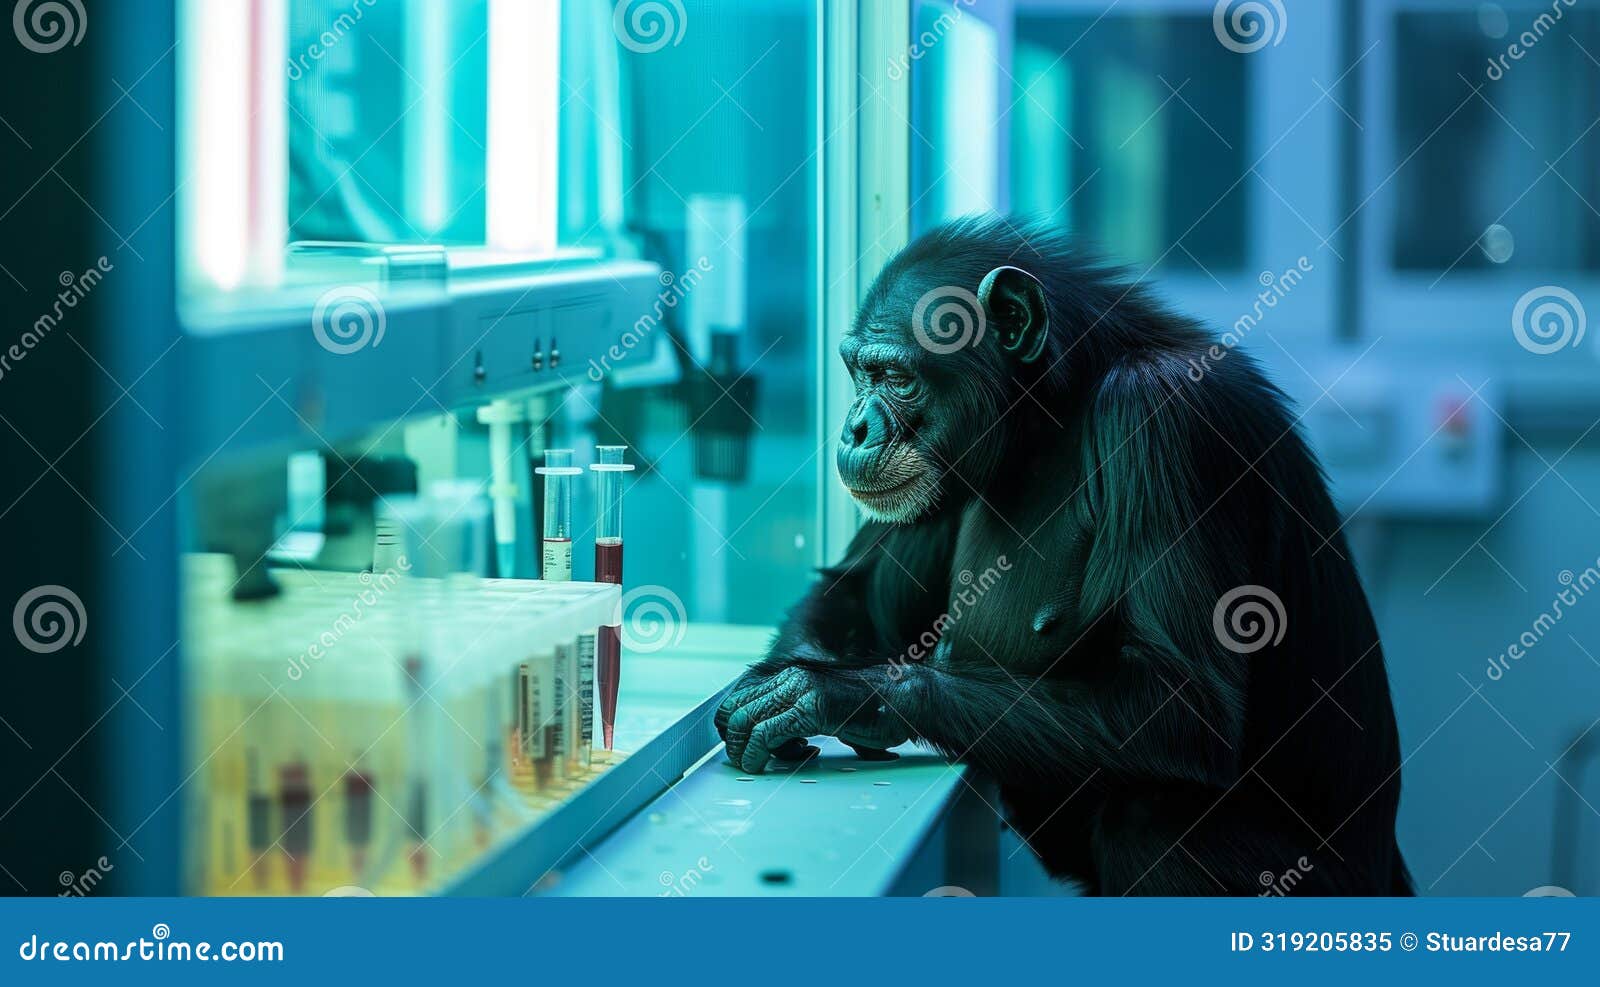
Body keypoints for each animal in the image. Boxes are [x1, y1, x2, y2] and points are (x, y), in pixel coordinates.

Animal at [715, 216, 1411, 896]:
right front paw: (784, 684)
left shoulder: (1164, 420)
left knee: (1154, 817)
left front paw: (832, 692)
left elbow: (1185, 700)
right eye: (858, 373)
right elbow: (852, 595)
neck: (1054, 410)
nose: (856, 428)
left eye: (896, 378)